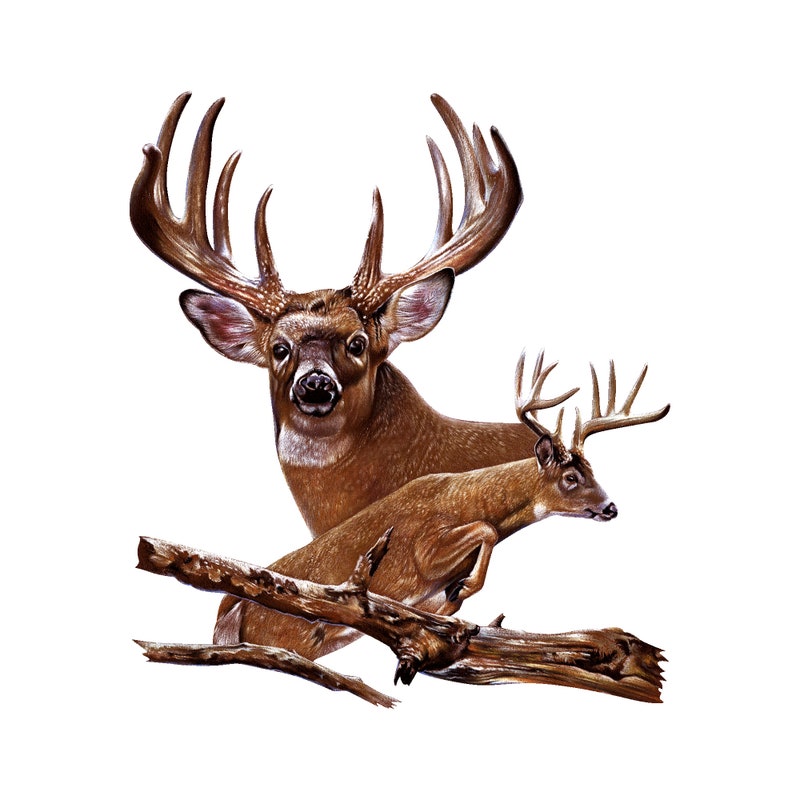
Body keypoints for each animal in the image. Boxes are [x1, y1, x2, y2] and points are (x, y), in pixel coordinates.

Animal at [212, 352, 669, 658]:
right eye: (571, 478)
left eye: (592, 468)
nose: (610, 507)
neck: (465, 497)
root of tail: (224, 614)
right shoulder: (423, 547)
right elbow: (485, 530)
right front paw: (464, 585)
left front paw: (459, 598)